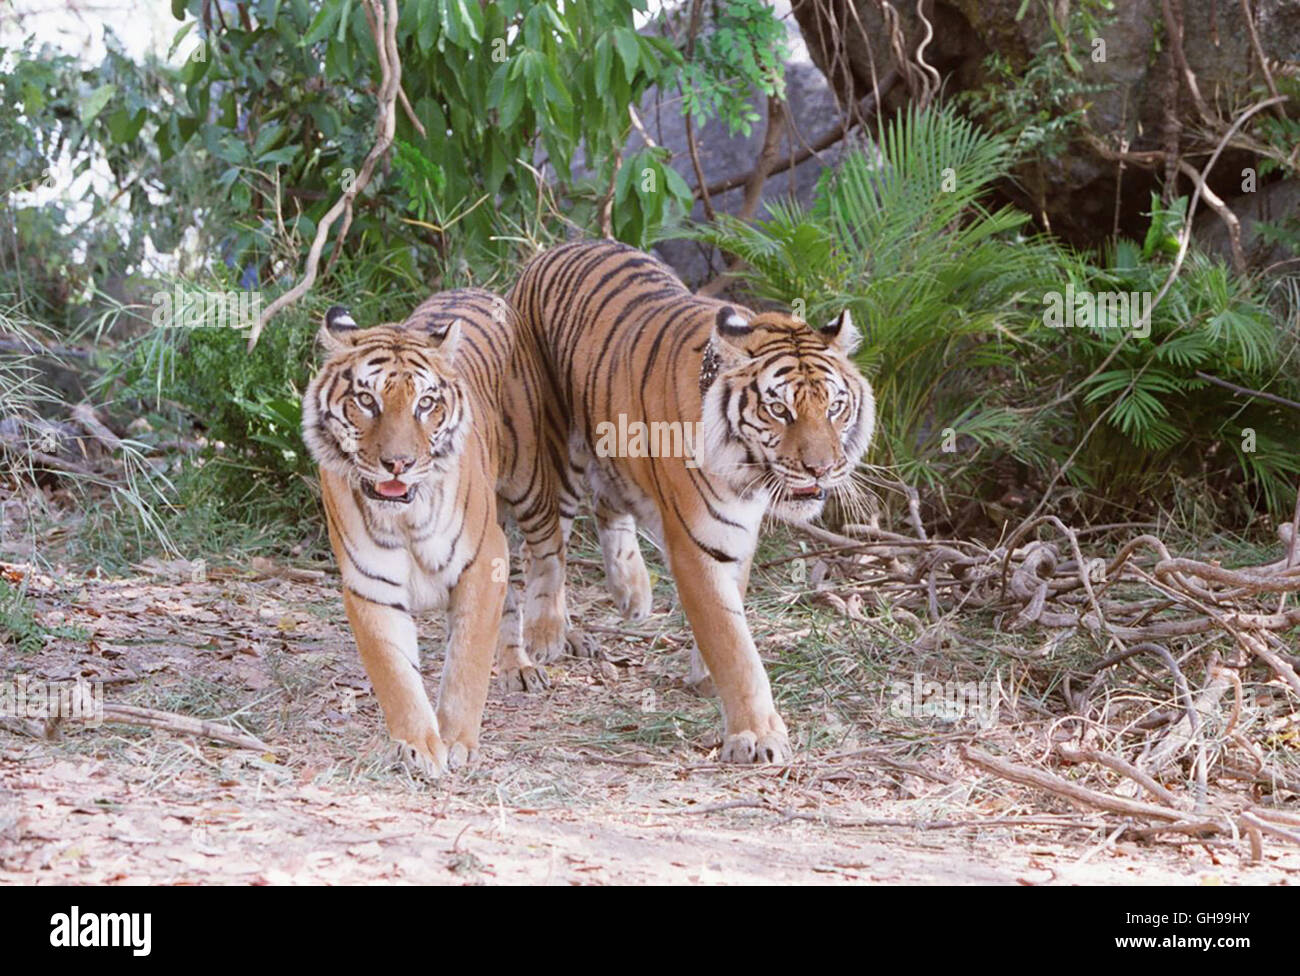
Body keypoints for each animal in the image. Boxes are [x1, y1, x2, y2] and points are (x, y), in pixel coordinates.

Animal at [300, 289, 571, 779]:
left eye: (425, 404)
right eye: (366, 400)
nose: (399, 463)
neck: (404, 517)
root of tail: (479, 290)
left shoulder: (482, 561)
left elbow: (466, 661)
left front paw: (458, 743)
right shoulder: (370, 584)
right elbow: (395, 674)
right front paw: (418, 747)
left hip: (529, 483)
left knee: (550, 551)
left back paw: (543, 640)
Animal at [509, 240, 875, 764]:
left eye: (835, 407)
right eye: (779, 409)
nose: (821, 469)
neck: (747, 475)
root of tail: (555, 248)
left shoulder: (736, 536)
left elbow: (731, 613)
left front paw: (705, 675)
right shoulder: (696, 546)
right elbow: (733, 643)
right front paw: (757, 735)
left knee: (608, 505)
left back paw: (632, 592)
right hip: (553, 445)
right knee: (545, 544)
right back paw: (548, 634)